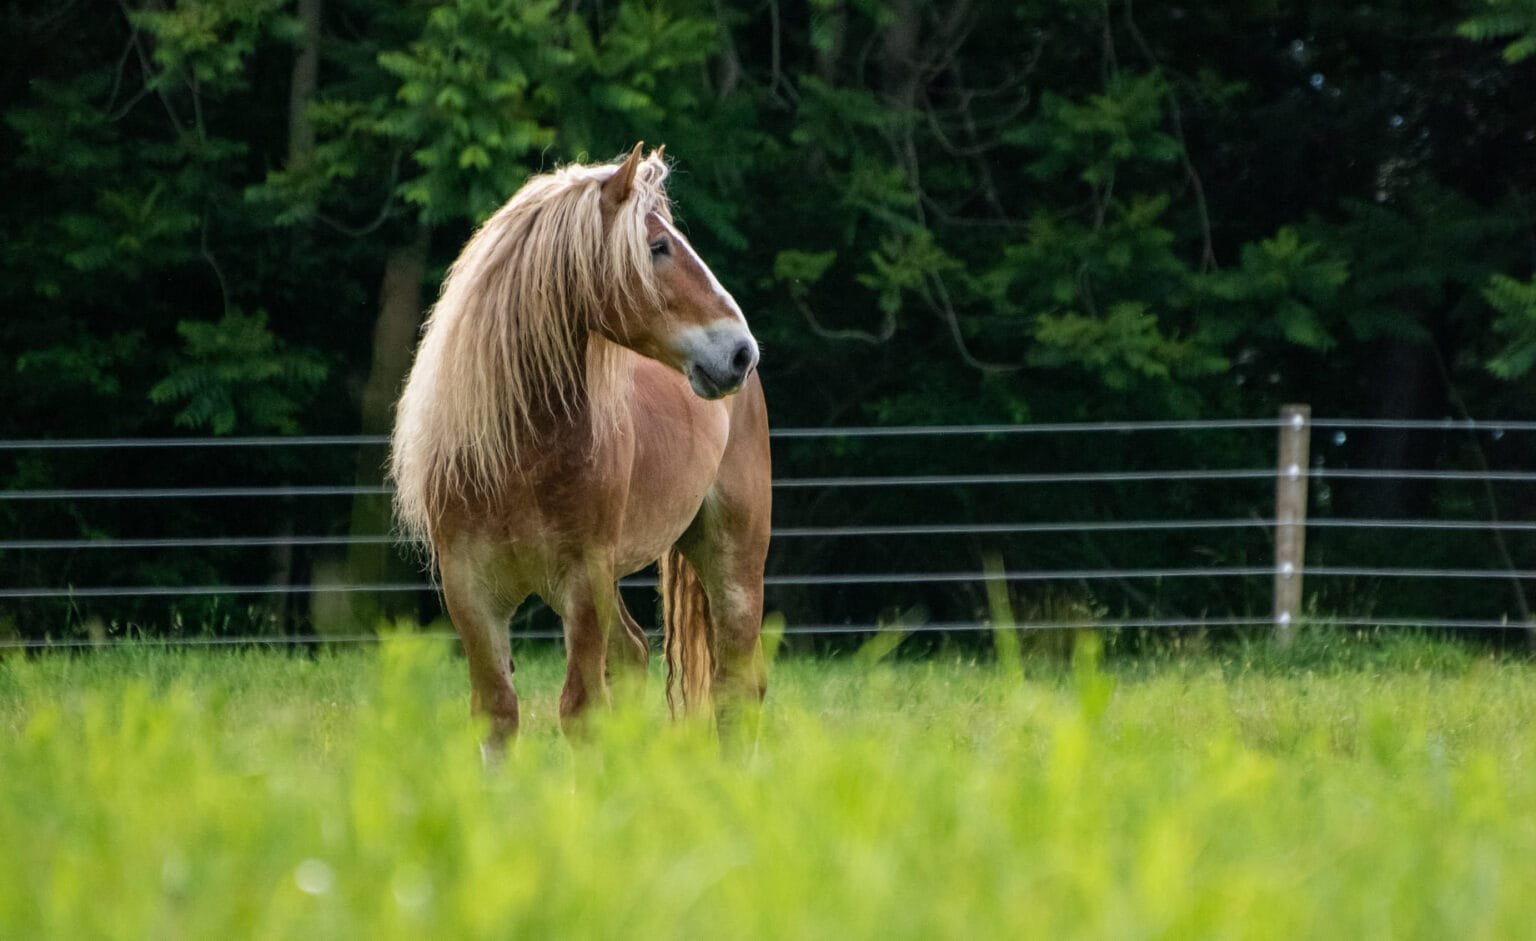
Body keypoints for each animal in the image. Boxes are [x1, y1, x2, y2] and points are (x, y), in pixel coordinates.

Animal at [389, 144, 770, 756]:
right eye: (657, 246)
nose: (740, 352)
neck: (516, 456)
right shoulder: (470, 590)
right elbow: (496, 713)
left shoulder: (582, 580)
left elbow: (580, 711)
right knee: (637, 654)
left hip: (732, 555)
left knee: (736, 685)